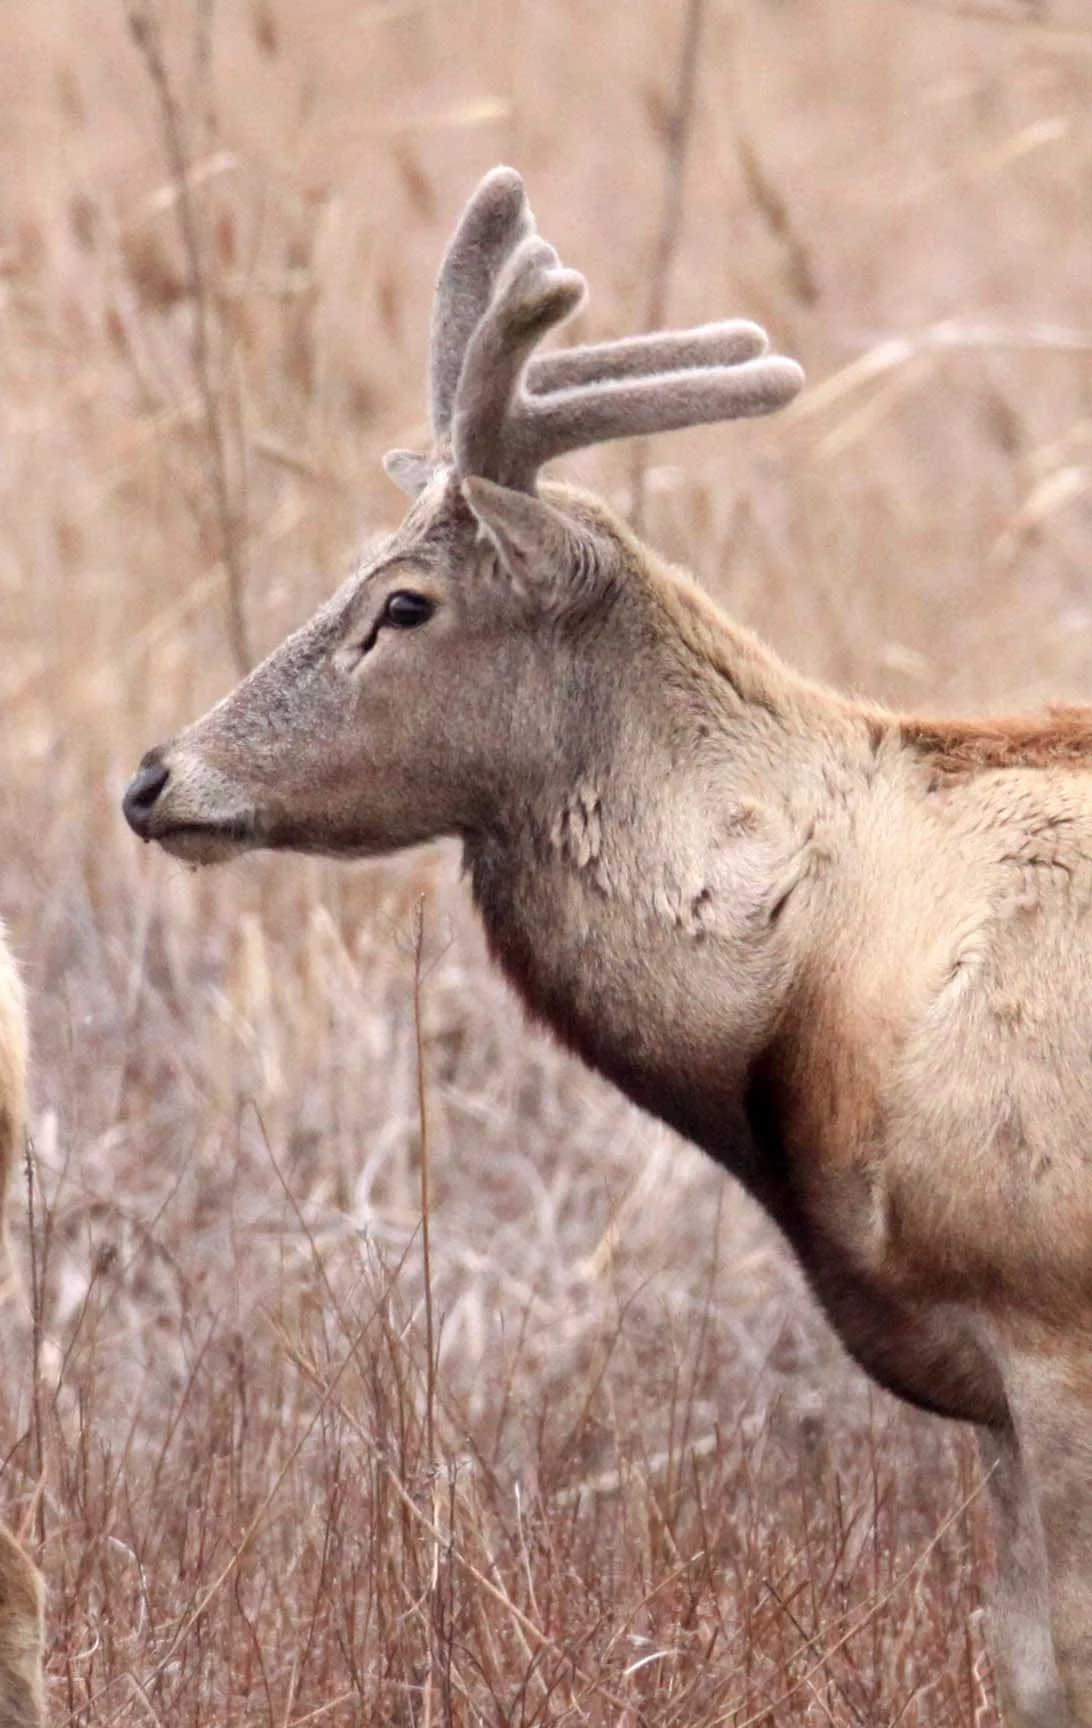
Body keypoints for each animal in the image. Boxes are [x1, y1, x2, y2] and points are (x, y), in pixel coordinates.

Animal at [122, 165, 1092, 1727]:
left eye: (404, 603)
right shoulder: (989, 1373)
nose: (157, 780)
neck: (812, 994)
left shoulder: (1051, 1305)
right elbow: (1021, 1657)